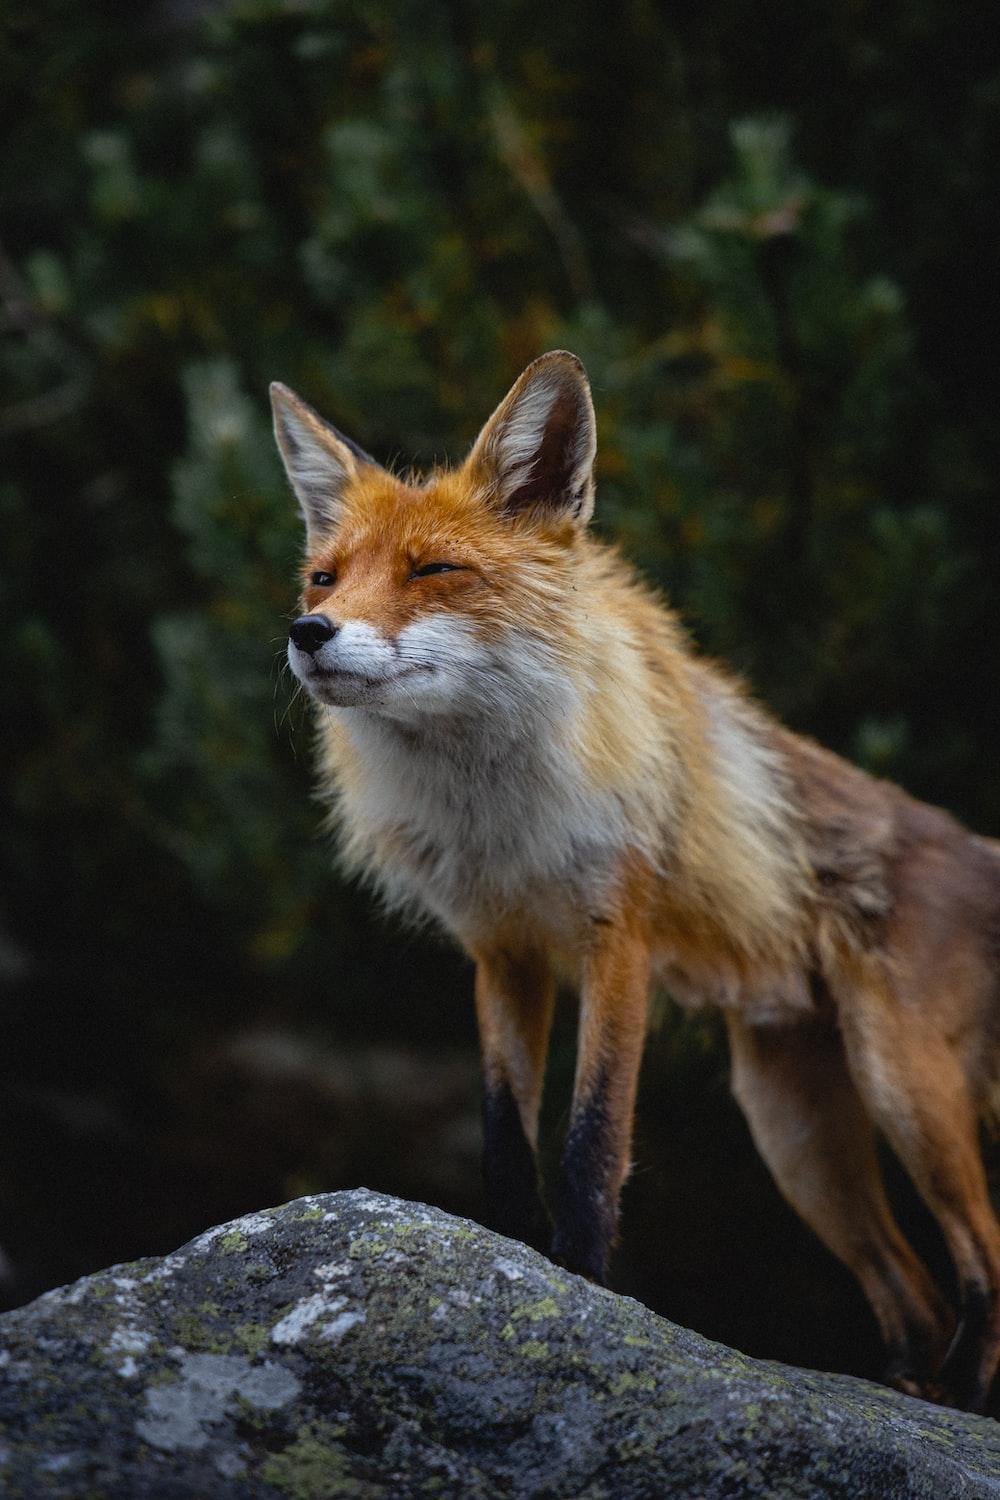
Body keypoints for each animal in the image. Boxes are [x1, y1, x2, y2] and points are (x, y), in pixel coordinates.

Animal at [271, 350, 1000, 1412]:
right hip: (798, 1140)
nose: (308, 629)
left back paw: (966, 1391)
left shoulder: (618, 938)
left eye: (434, 570)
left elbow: (592, 1138)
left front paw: (579, 1279)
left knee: (984, 1260)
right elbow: (503, 1132)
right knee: (913, 1287)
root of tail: (977, 845)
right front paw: (507, 1262)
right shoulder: (503, 952)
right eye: (325, 576)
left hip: (904, 1087)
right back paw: (912, 1387)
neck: (494, 811)